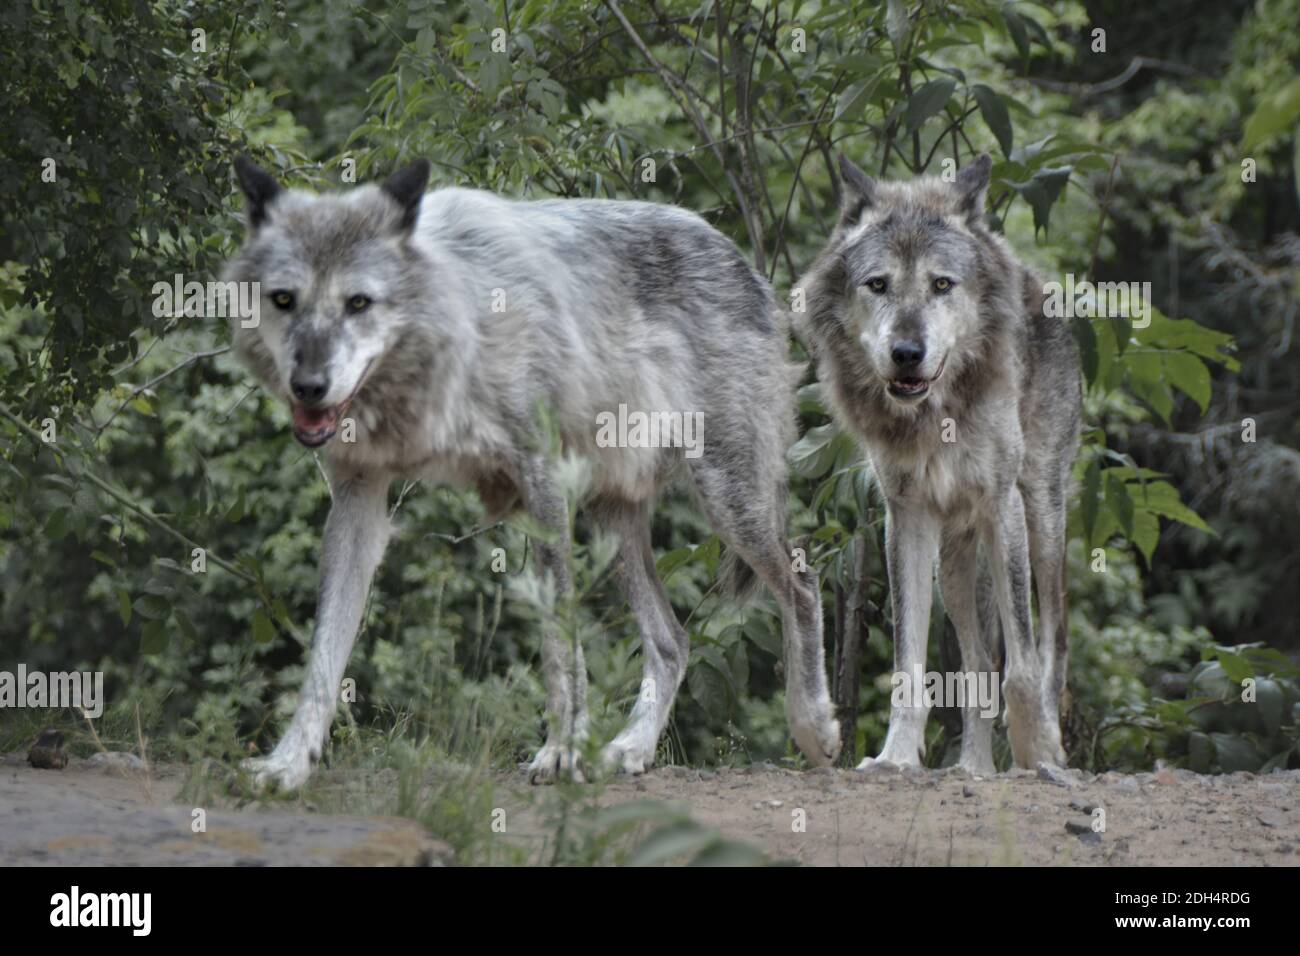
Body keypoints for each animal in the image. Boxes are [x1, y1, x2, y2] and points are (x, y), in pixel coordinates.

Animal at [222, 157, 840, 789]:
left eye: (359, 303)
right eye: (284, 299)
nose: (309, 386)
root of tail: (743, 261)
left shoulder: (541, 476)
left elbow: (560, 645)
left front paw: (562, 753)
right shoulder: (357, 502)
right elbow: (324, 653)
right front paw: (288, 764)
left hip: (725, 499)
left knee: (803, 585)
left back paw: (814, 728)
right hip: (611, 520)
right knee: (673, 640)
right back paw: (631, 749)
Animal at [795, 153, 1081, 773]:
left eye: (942, 285)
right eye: (878, 285)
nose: (907, 353)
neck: (935, 414)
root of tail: (1033, 277)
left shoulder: (1001, 505)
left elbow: (1022, 661)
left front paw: (1035, 750)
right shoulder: (907, 518)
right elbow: (911, 665)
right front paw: (896, 758)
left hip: (1043, 521)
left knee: (1051, 638)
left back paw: (1045, 745)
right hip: (953, 570)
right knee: (976, 663)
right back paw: (973, 768)